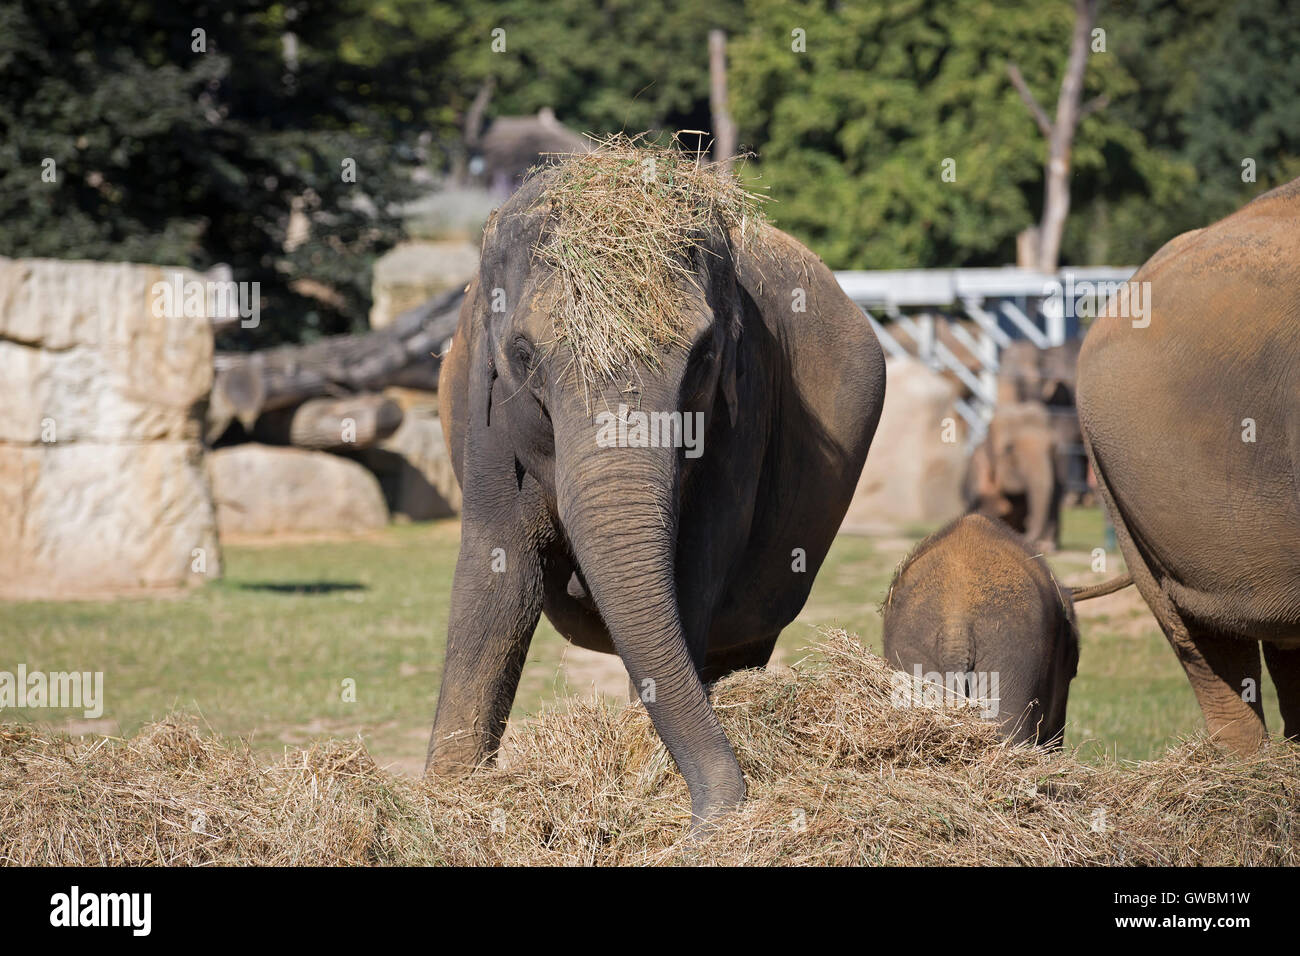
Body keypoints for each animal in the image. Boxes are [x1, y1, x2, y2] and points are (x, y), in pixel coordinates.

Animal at [426, 162, 886, 824]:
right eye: (524, 353)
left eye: (705, 354)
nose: (707, 821)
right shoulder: (487, 417)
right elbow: (496, 576)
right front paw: (448, 800)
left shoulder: (741, 412)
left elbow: (694, 566)